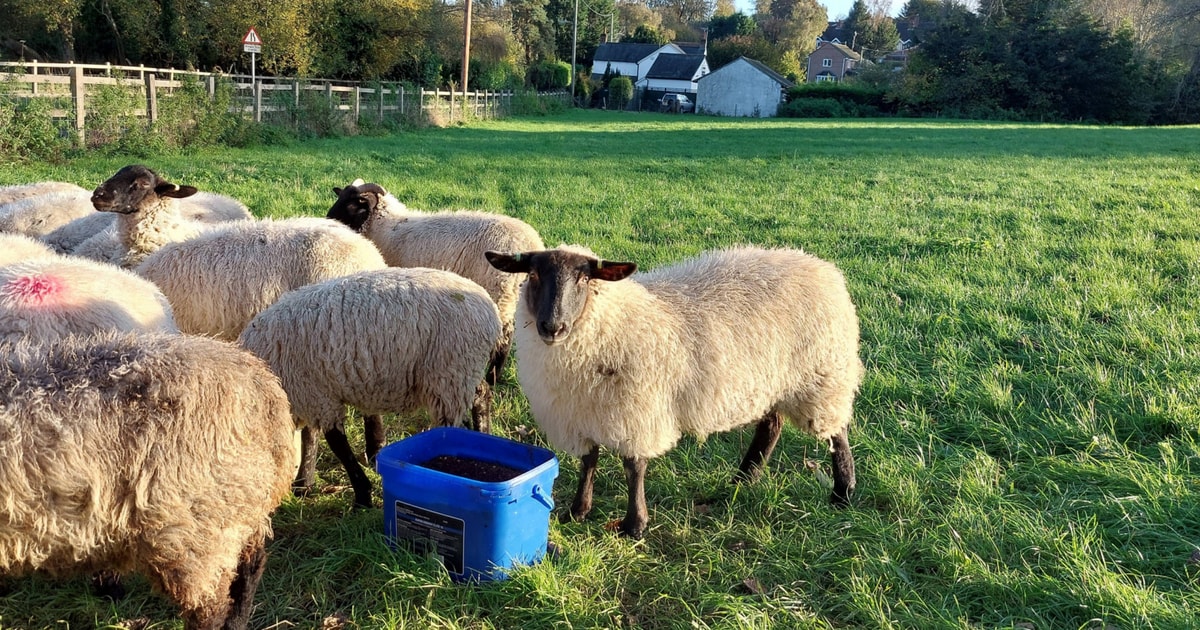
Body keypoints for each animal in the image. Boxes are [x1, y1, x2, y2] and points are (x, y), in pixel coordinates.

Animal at [237, 267, 501, 508]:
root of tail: (491, 312)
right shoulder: (314, 393)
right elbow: (313, 436)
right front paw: (305, 483)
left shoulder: (313, 392)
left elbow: (336, 443)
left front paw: (362, 495)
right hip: (463, 371)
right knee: (482, 395)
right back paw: (484, 435)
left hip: (449, 372)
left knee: (454, 424)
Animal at [327, 179, 544, 387]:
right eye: (340, 197)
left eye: (353, 203)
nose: (328, 219)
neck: (385, 226)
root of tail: (531, 244)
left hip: (499, 292)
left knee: (504, 338)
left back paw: (491, 377)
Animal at [485, 245, 863, 539]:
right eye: (534, 275)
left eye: (584, 279)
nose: (553, 327)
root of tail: (819, 265)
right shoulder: (582, 414)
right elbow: (588, 462)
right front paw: (578, 511)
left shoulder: (636, 411)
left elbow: (633, 467)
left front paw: (634, 525)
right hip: (769, 379)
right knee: (771, 426)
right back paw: (743, 480)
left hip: (822, 377)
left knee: (837, 433)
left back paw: (843, 492)